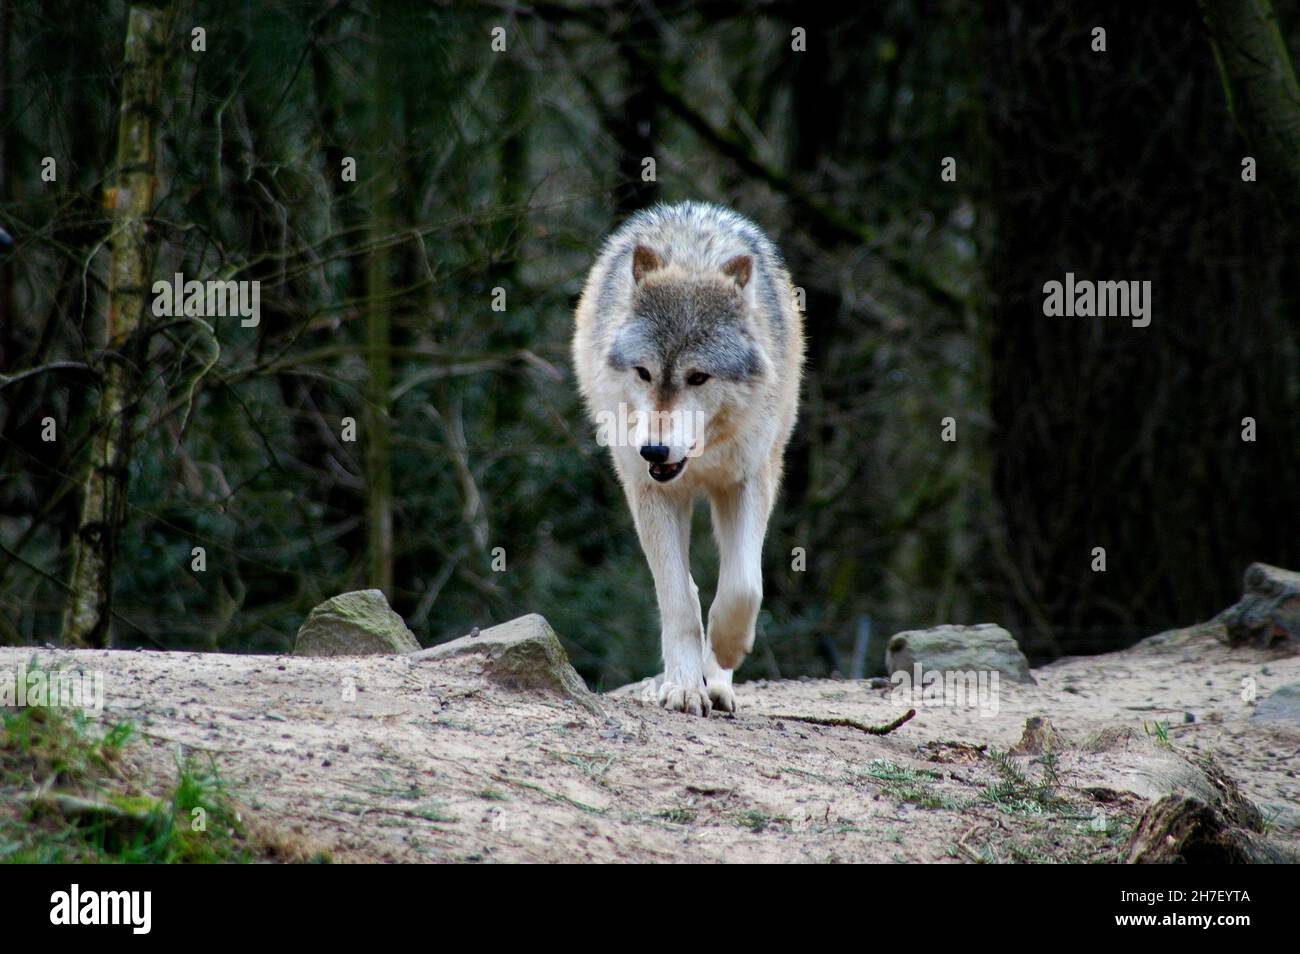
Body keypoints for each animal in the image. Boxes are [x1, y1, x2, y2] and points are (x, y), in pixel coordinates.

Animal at [572, 201, 805, 716]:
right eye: (644, 372)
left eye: (698, 377)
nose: (653, 449)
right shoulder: (649, 488)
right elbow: (680, 599)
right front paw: (682, 687)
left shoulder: (748, 479)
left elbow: (743, 586)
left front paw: (726, 649)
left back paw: (717, 683)